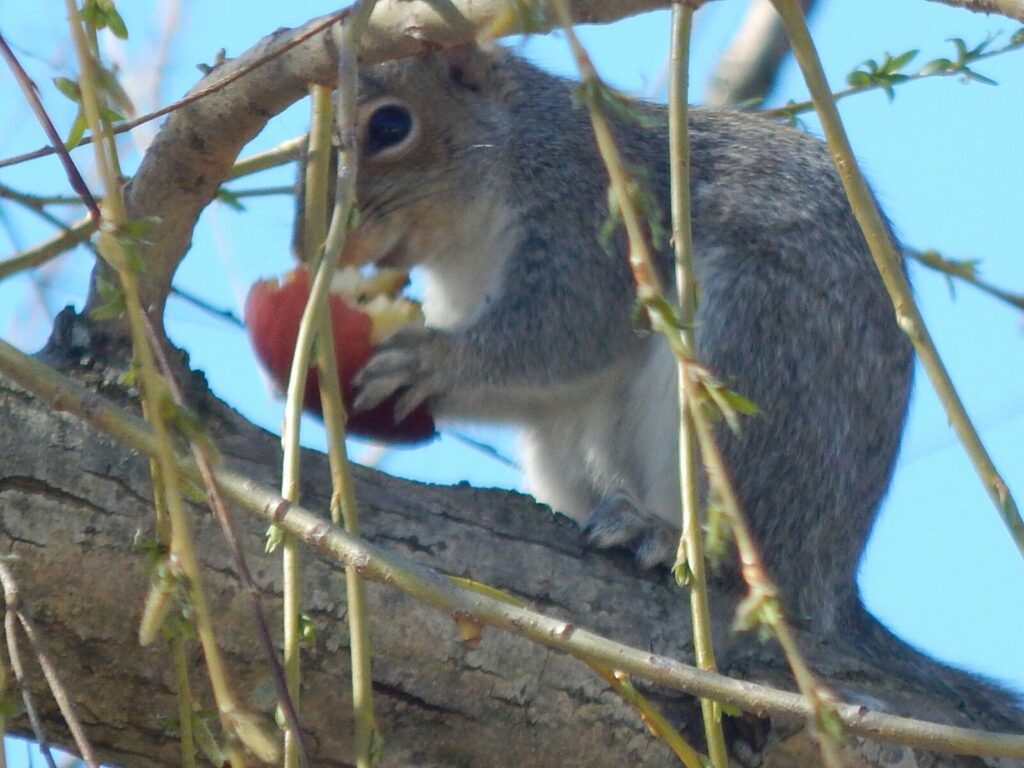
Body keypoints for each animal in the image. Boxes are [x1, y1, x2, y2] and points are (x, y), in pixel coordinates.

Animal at [327, 45, 1024, 741]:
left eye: (389, 126)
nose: (336, 241)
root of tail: (830, 576)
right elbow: (529, 386)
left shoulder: (590, 216)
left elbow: (564, 334)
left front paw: (431, 361)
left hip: (755, 346)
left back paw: (661, 534)